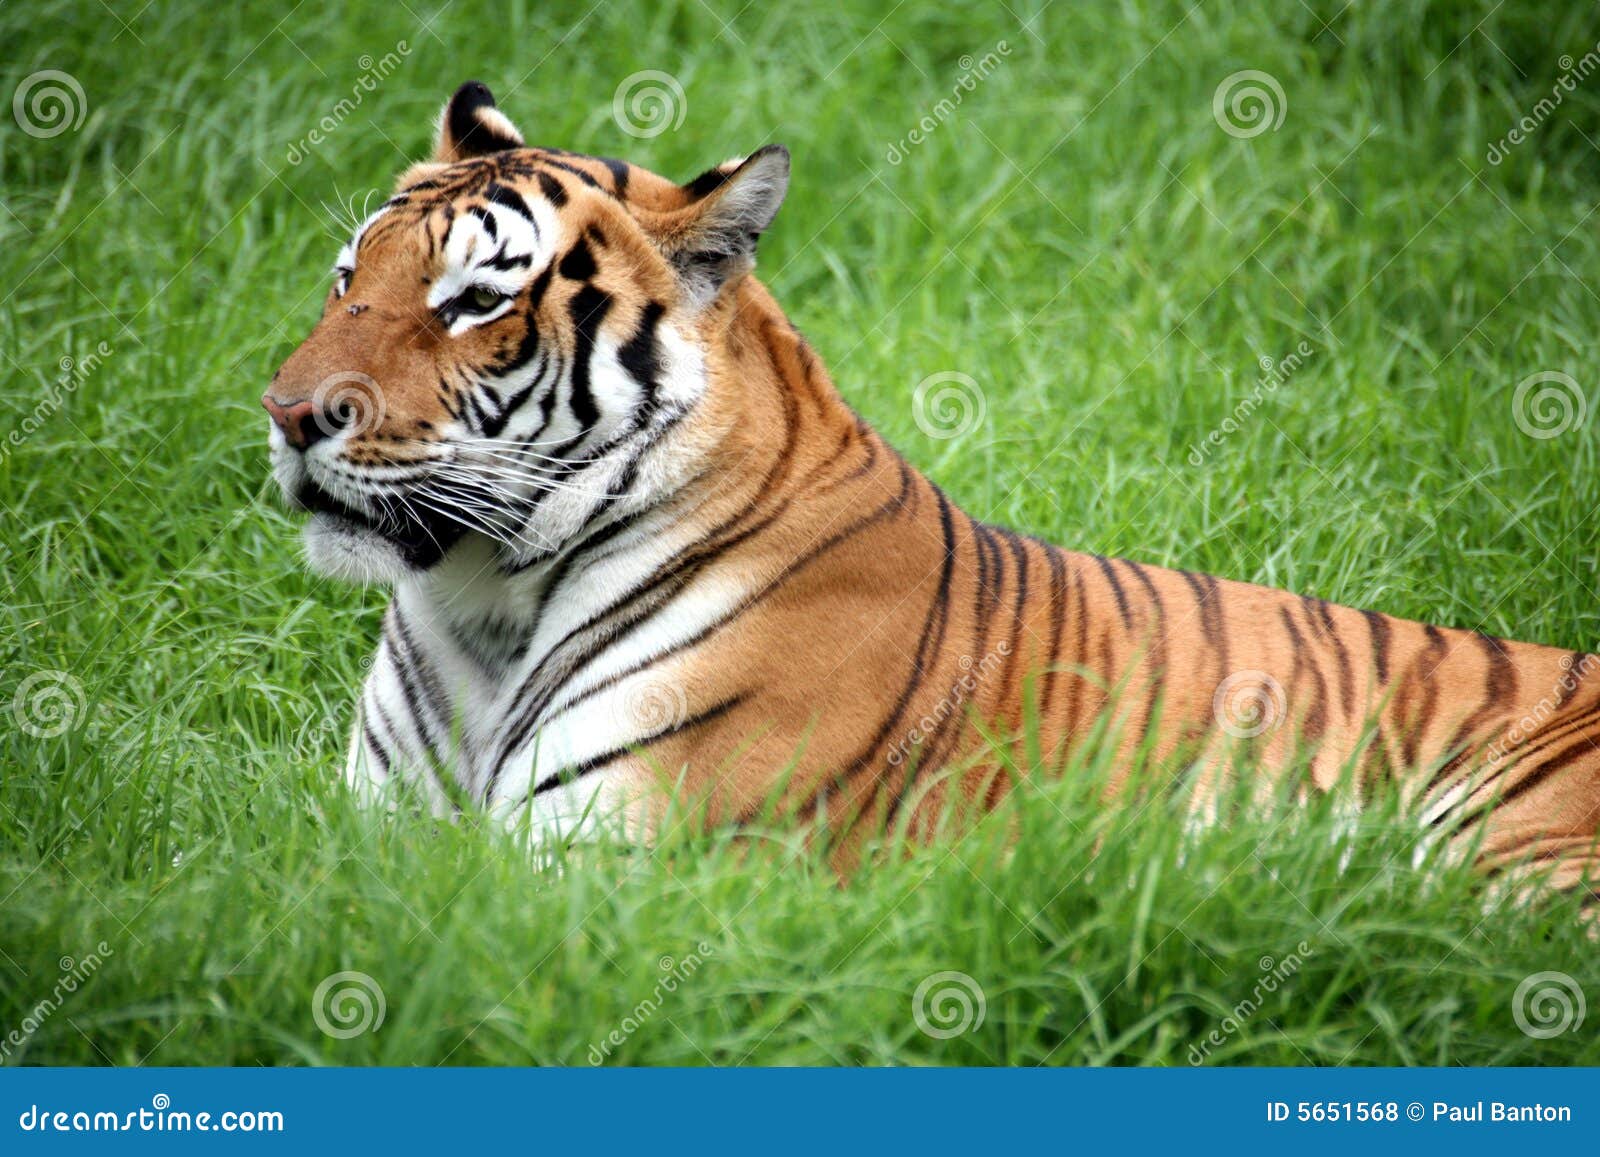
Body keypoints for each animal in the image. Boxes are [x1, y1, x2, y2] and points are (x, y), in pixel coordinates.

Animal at [264, 81, 1599, 895]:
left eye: (474, 301)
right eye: (346, 278)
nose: (286, 413)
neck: (486, 603)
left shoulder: (607, 860)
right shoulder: (361, 837)